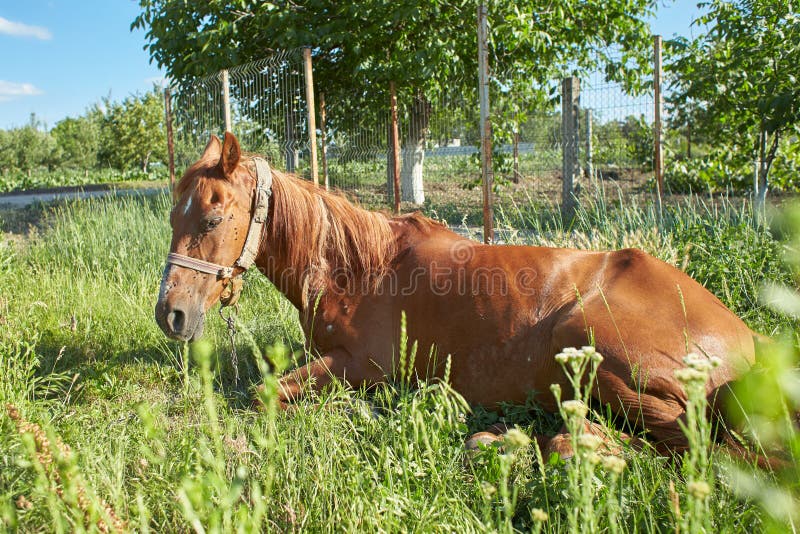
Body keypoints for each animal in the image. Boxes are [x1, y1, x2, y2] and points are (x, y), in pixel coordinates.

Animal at [155, 132, 759, 458]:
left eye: (212, 218)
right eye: (172, 216)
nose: (171, 314)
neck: (359, 268)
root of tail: (753, 345)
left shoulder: (363, 365)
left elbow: (266, 393)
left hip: (585, 337)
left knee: (695, 444)